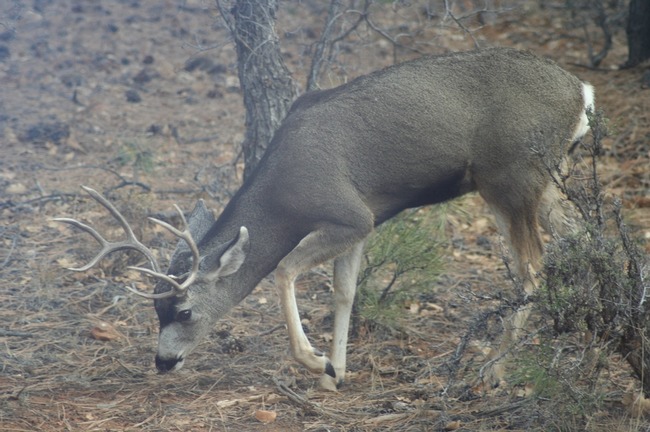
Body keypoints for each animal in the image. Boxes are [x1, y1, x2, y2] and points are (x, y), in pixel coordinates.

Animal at [56, 48, 594, 391]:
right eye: (156, 312)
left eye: (184, 312)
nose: (163, 362)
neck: (284, 196)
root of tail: (582, 90)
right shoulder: (365, 222)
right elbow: (345, 292)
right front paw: (337, 373)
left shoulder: (348, 214)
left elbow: (284, 269)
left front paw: (316, 364)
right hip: (547, 180)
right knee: (586, 236)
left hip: (512, 177)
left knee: (532, 268)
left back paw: (494, 370)